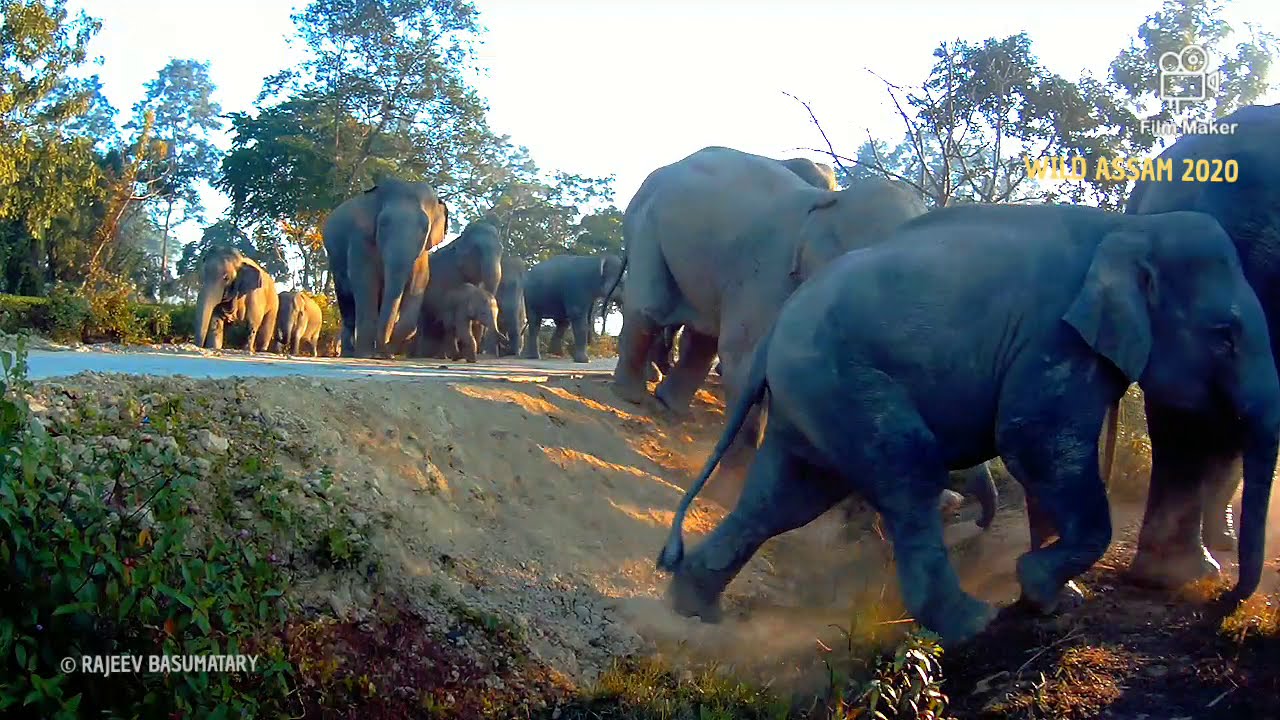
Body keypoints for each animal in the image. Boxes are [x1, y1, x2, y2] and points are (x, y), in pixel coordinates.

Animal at [322, 177, 449, 358]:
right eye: (383, 224)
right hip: (335, 260)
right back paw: (349, 353)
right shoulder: (360, 239)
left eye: (425, 228)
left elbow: (418, 284)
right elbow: (365, 281)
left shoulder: (421, 254)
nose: (384, 352)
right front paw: (365, 355)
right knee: (347, 302)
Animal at [655, 202, 1280, 646]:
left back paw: (695, 608)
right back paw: (971, 625)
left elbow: (1048, 456)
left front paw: (1061, 600)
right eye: (1225, 336)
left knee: (787, 497)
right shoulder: (1052, 337)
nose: (1221, 601)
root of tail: (775, 332)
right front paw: (1036, 587)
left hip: (809, 396)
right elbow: (1033, 440)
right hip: (838, 378)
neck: (1129, 228)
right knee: (907, 470)